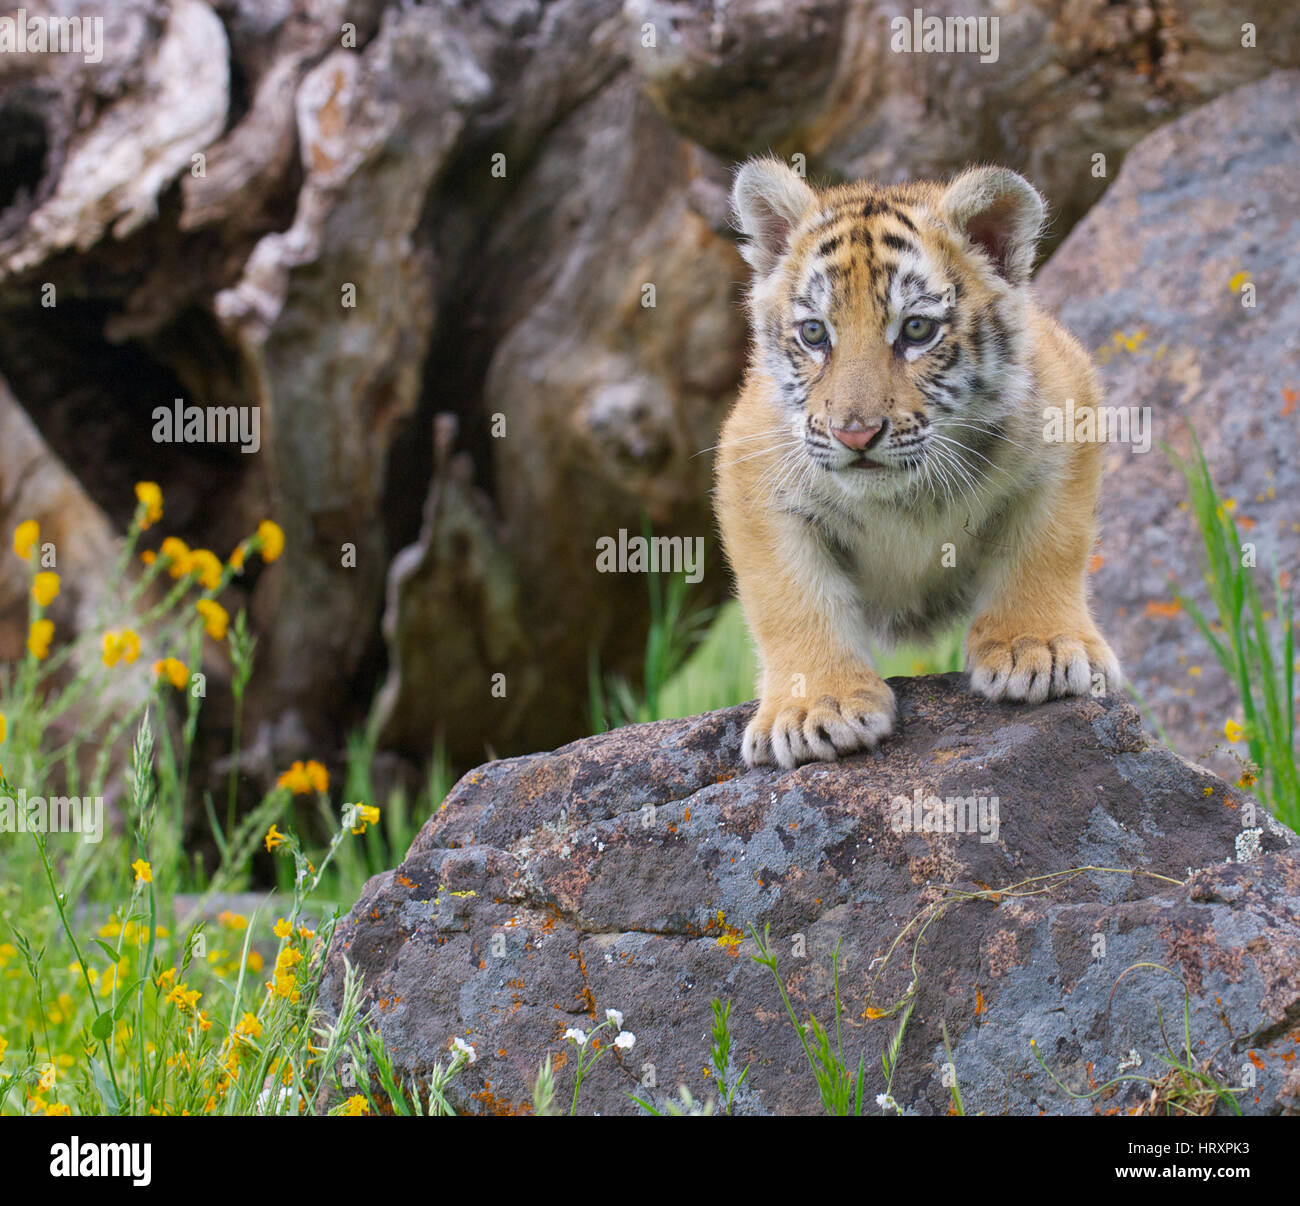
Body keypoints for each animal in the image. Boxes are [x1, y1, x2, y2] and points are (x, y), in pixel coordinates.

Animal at [714, 158, 1121, 770]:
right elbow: (791, 598)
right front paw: (816, 709)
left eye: (916, 329)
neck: (903, 496)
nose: (855, 433)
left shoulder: (1068, 417)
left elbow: (1049, 546)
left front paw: (1040, 648)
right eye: (814, 333)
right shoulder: (754, 473)